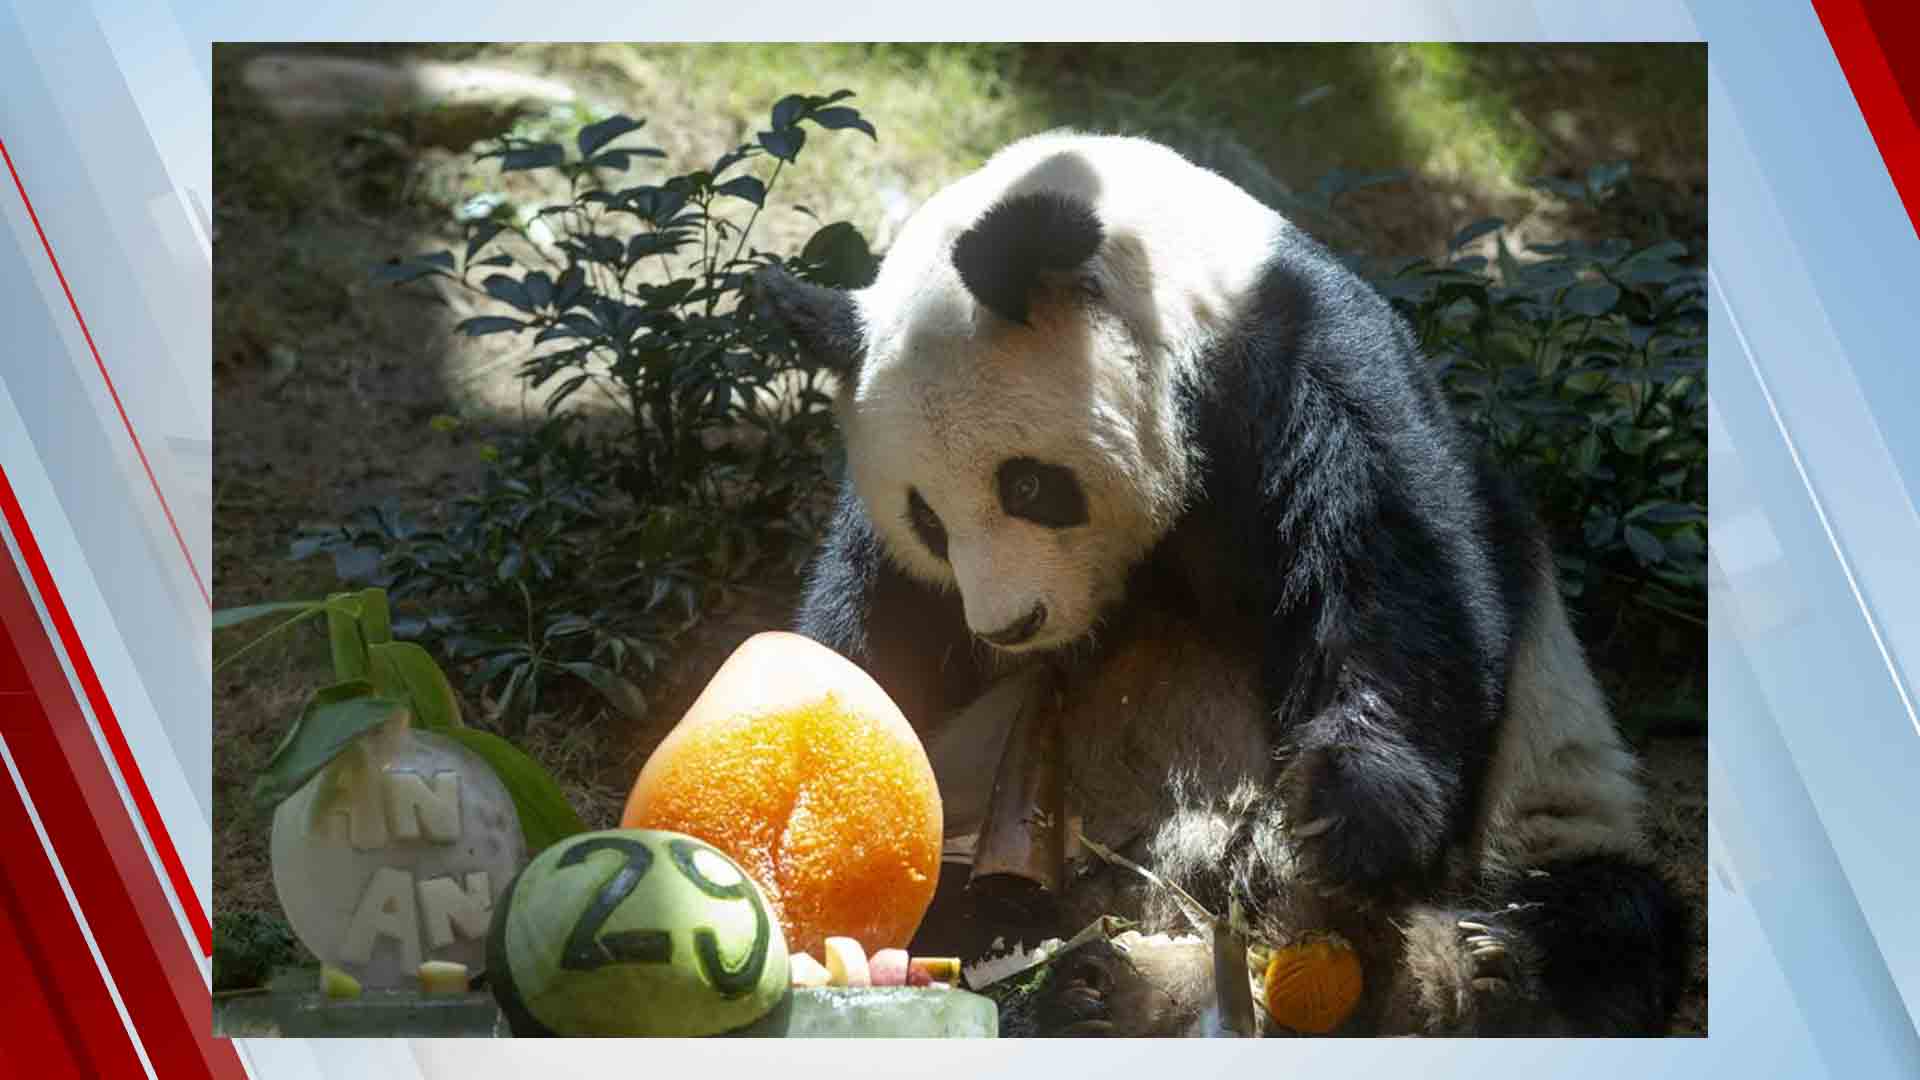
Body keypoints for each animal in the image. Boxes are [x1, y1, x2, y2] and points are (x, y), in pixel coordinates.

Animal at [756, 132, 1691, 1036]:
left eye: (1026, 485)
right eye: (927, 520)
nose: (1008, 625)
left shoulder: (1306, 373)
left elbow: (1395, 580)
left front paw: (1345, 817)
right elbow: (870, 633)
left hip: (1547, 803)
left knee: (1609, 915)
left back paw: (1483, 967)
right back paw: (1087, 986)